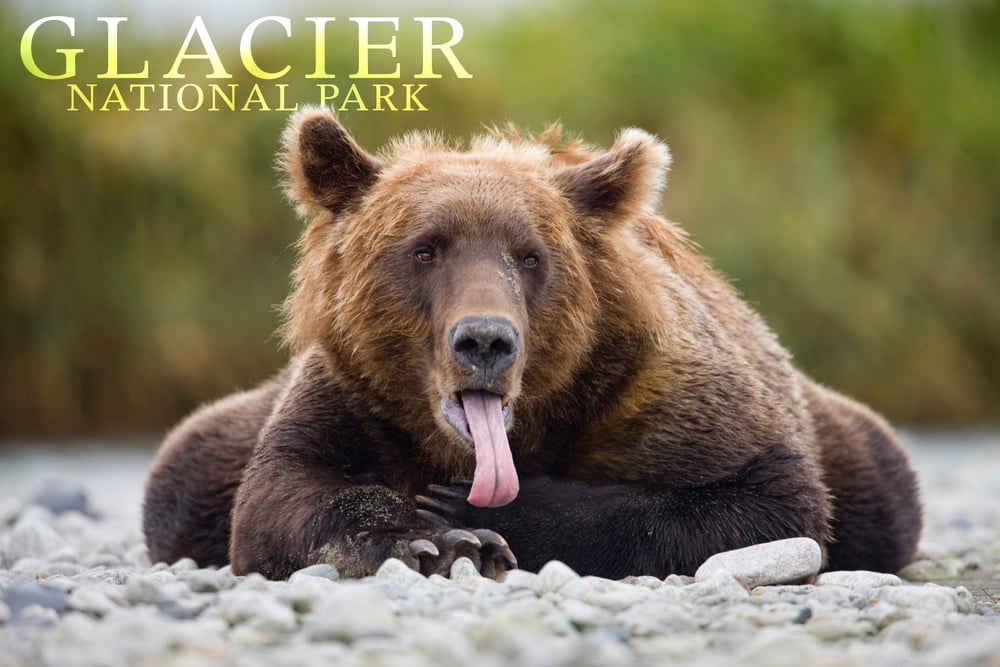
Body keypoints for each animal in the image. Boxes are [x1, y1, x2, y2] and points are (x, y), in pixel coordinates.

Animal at [142, 107, 922, 581]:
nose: (486, 340)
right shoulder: (353, 395)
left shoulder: (666, 399)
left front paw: (471, 515)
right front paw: (429, 537)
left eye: (529, 256)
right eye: (424, 249)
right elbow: (284, 492)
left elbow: (762, 498)